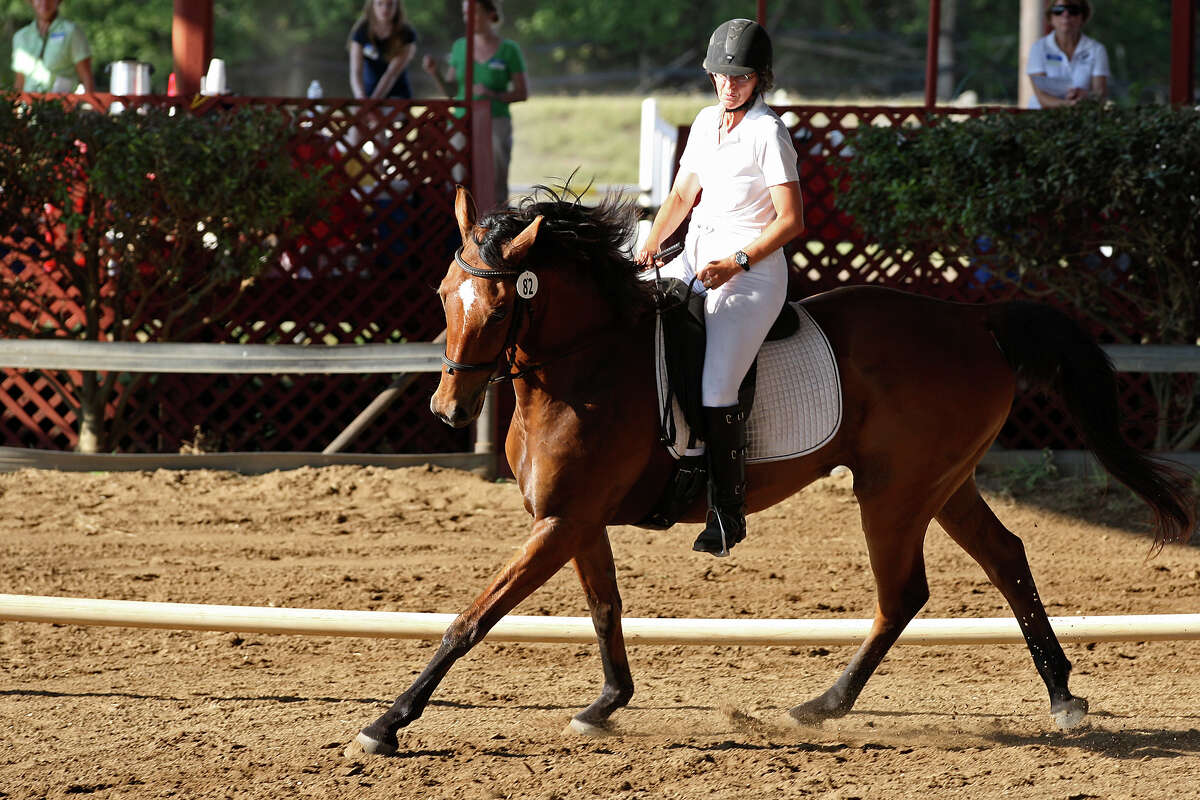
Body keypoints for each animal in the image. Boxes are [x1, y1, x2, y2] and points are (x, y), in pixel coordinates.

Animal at [348, 186, 1196, 756]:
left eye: (497, 311)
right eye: (442, 295)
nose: (448, 411)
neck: (582, 365)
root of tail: (974, 319)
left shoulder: (562, 520)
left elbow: (473, 618)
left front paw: (387, 723)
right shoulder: (574, 520)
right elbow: (604, 608)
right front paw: (606, 703)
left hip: (894, 490)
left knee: (904, 593)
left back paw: (824, 704)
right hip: (943, 483)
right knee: (1006, 557)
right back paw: (1061, 695)